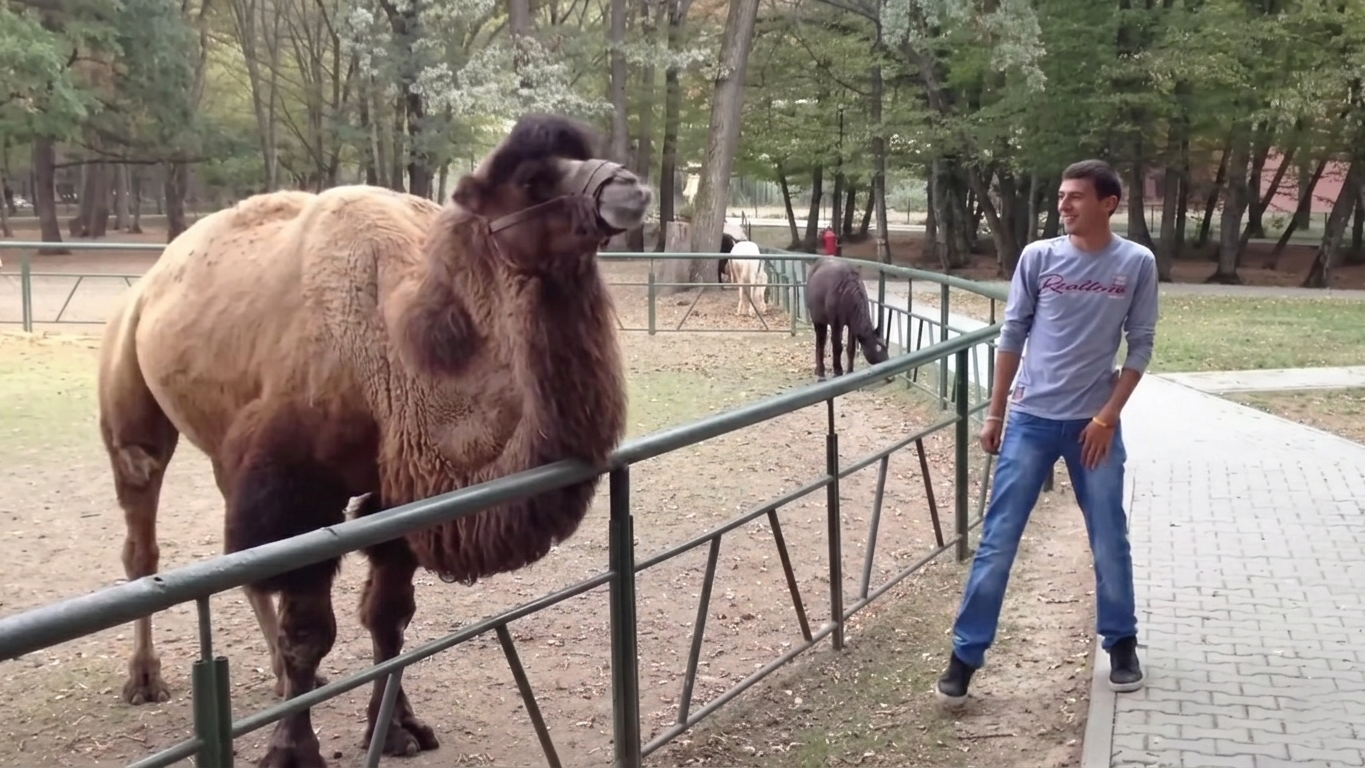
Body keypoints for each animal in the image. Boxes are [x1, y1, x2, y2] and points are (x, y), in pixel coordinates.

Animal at [96, 113, 652, 767]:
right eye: (533, 180)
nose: (629, 186)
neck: (398, 355)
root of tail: (150, 281)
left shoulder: (399, 492)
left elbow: (388, 617)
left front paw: (396, 729)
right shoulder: (299, 485)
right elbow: (311, 631)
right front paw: (292, 750)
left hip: (223, 438)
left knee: (240, 557)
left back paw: (274, 675)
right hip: (130, 398)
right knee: (144, 532)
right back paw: (145, 678)